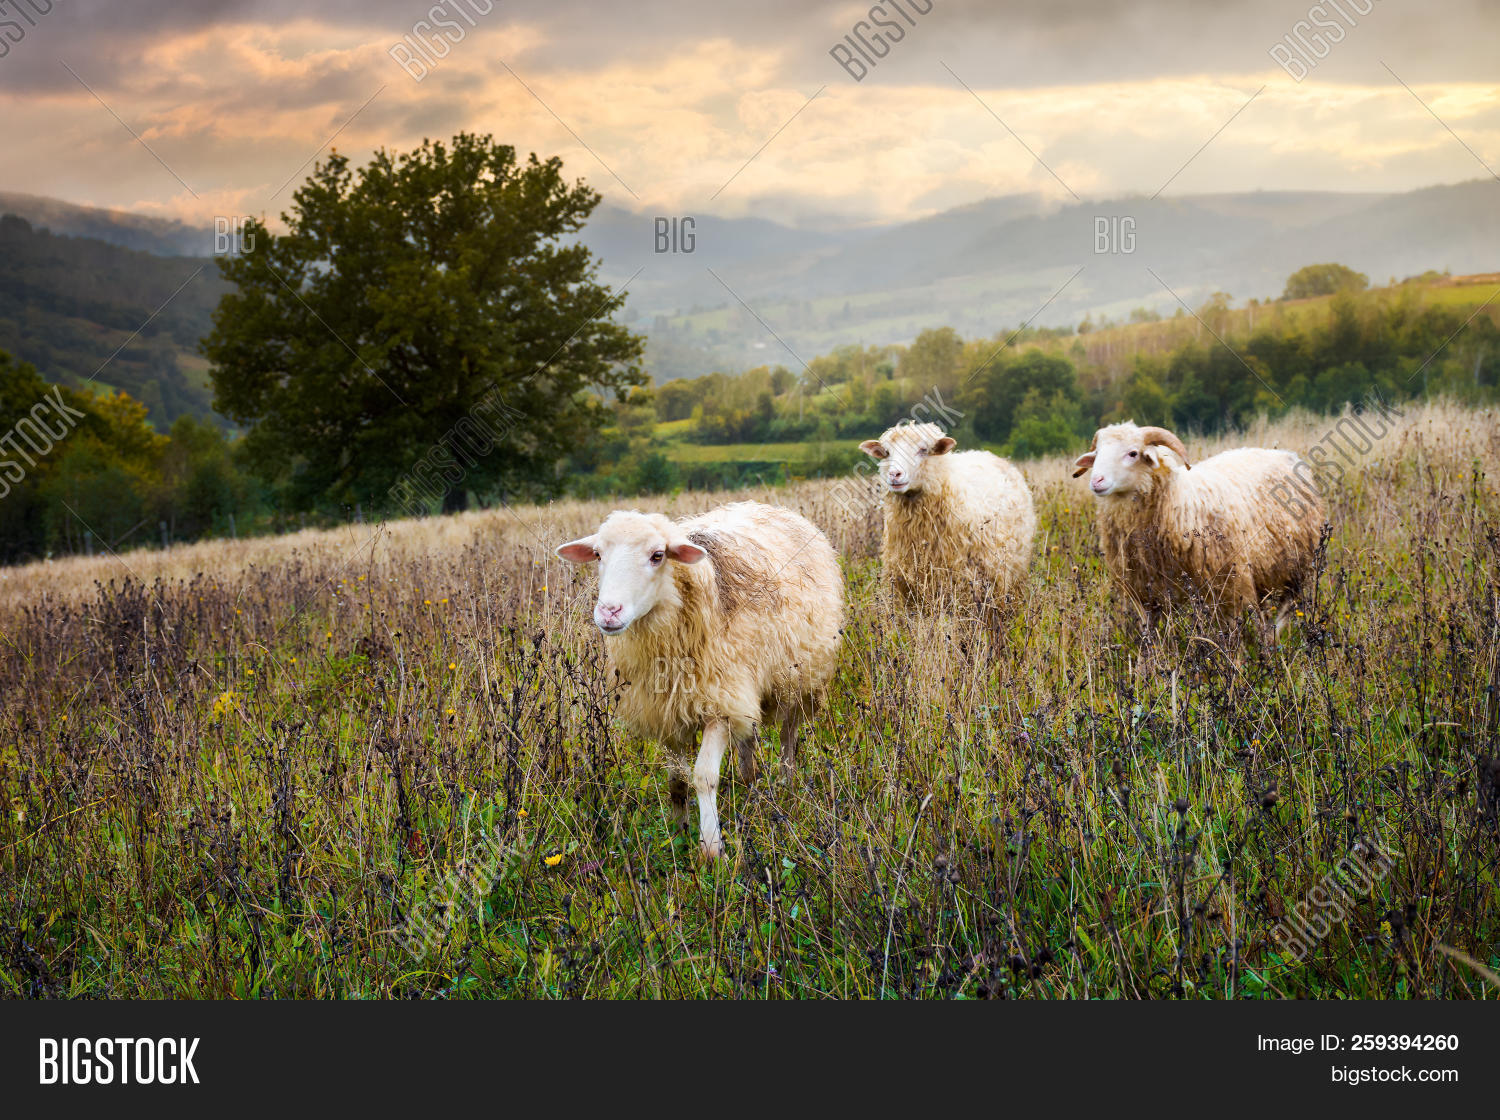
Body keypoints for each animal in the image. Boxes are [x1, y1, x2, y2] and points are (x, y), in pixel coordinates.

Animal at [556, 501, 843, 858]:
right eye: (597, 554)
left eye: (658, 555)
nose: (609, 612)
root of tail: (769, 506)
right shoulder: (667, 710)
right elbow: (676, 780)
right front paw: (679, 835)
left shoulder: (718, 706)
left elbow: (704, 776)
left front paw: (712, 848)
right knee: (748, 738)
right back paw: (750, 786)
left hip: (800, 679)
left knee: (789, 735)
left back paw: (787, 786)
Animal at [1071, 421, 1325, 639]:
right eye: (1097, 454)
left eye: (1133, 453)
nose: (1096, 481)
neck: (1178, 502)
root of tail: (1286, 455)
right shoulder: (1145, 593)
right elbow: (1149, 636)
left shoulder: (1229, 586)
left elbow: (1231, 634)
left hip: (1294, 568)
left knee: (1282, 613)